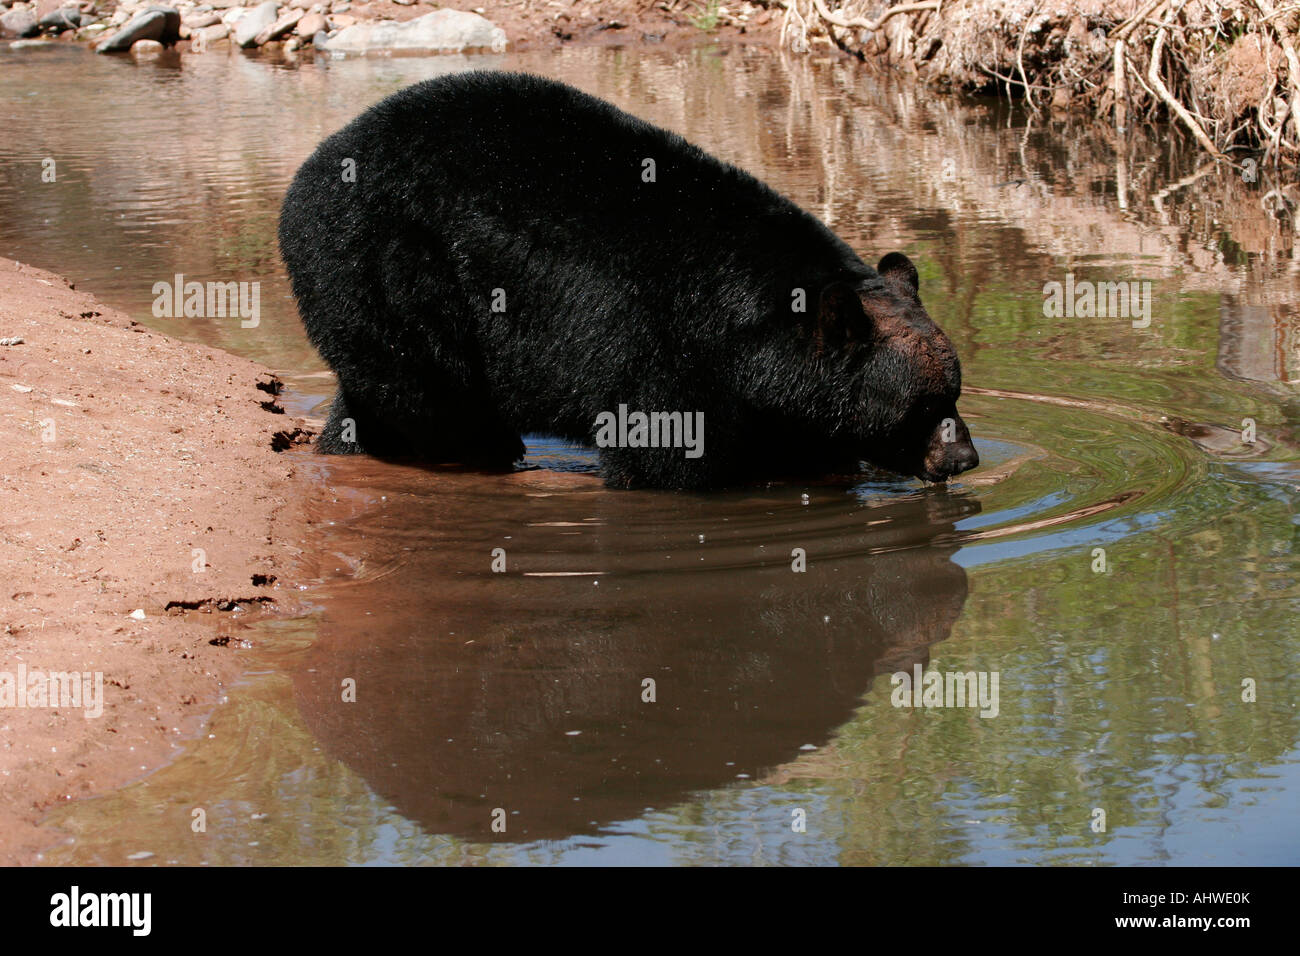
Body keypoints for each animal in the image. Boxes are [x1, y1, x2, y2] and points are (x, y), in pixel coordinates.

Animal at [278, 70, 978, 490]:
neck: (749, 336)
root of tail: (315, 161)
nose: (963, 457)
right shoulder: (661, 352)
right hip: (386, 269)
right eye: (923, 405)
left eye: (953, 391)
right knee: (431, 398)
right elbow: (660, 457)